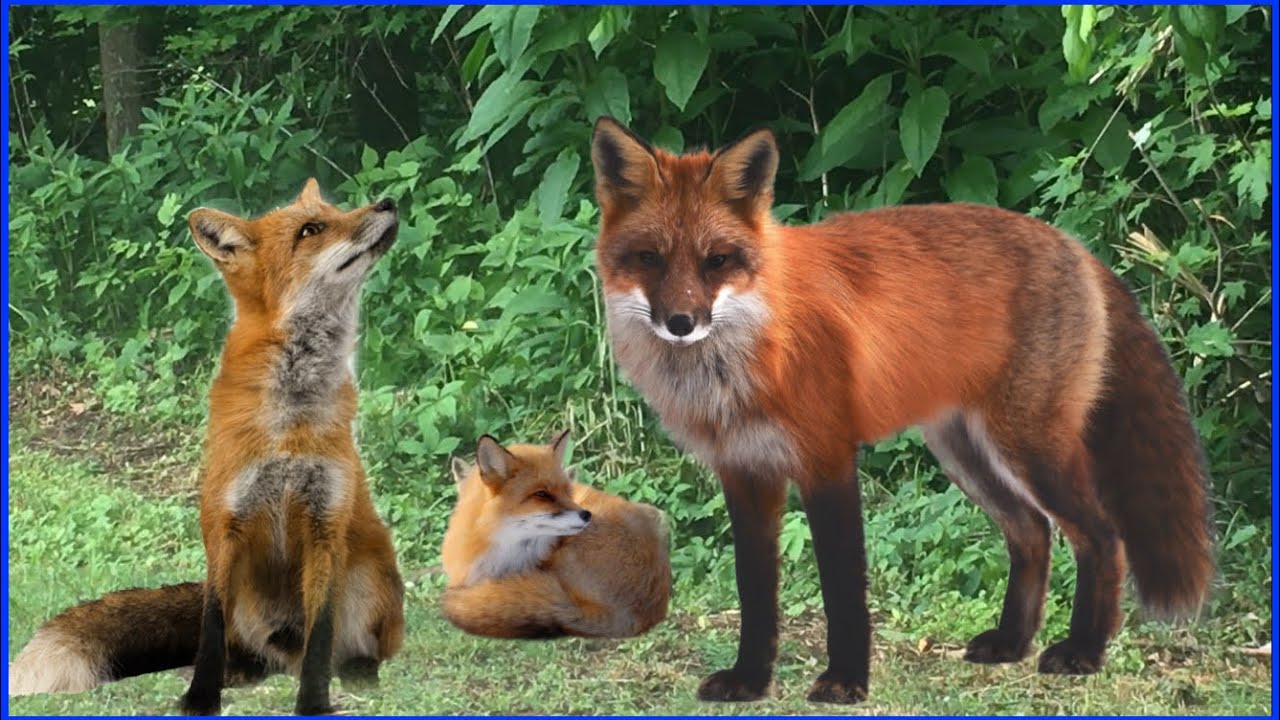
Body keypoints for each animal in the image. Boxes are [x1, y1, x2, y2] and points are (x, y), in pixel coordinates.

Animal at [8, 179, 406, 716]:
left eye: (335, 210)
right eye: (312, 229)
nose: (388, 201)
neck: (288, 426)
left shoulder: (325, 523)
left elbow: (321, 636)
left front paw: (313, 704)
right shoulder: (225, 523)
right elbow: (210, 632)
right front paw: (200, 699)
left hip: (368, 577)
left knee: (339, 649)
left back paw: (358, 672)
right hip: (246, 598)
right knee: (243, 648)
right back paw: (241, 672)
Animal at [588, 116, 1215, 704]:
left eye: (716, 261)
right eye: (649, 258)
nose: (682, 323)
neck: (752, 351)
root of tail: (1077, 246)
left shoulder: (827, 462)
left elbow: (842, 591)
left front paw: (845, 682)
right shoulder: (746, 474)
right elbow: (755, 594)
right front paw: (749, 680)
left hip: (1029, 449)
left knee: (1102, 536)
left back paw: (1083, 650)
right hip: (967, 455)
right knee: (1033, 533)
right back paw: (1012, 643)